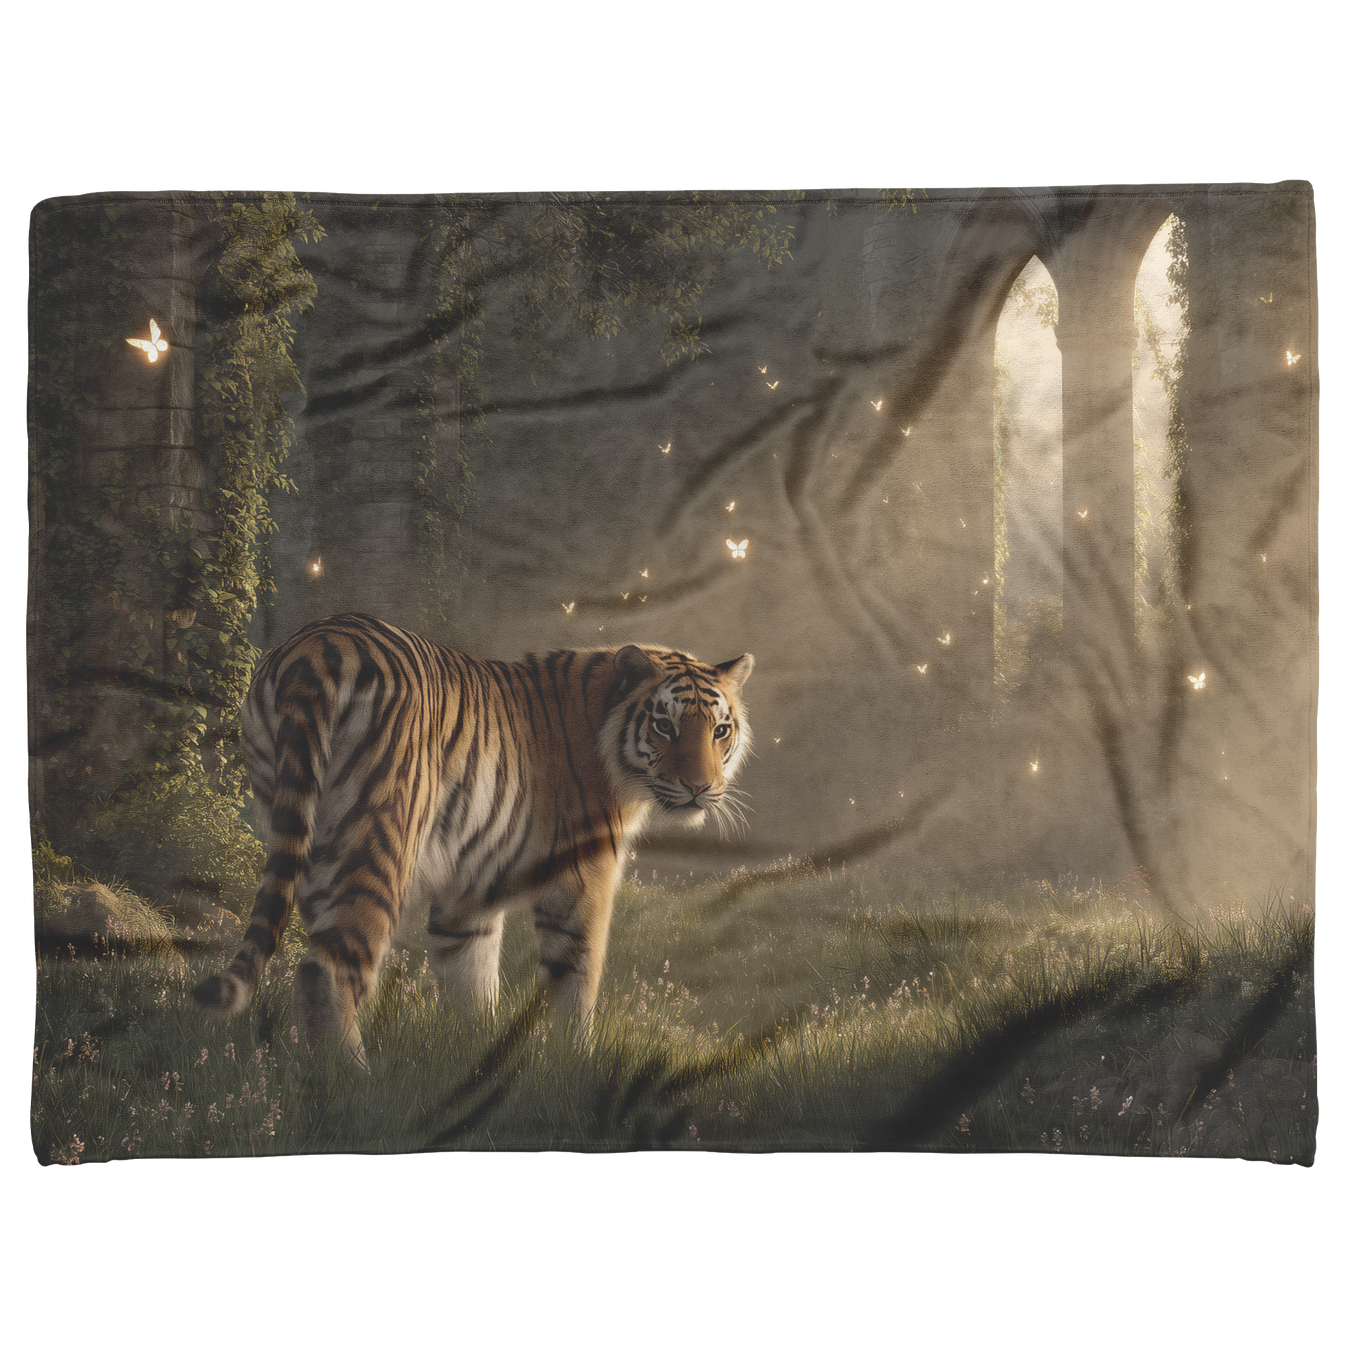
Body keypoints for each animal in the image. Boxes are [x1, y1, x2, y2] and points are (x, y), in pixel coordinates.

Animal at [193, 612, 754, 1067]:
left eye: (720, 730)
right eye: (664, 725)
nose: (701, 787)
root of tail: (317, 646)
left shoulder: (468, 895)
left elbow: (472, 983)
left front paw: (474, 1062)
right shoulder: (581, 879)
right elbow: (578, 981)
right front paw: (574, 1063)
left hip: (302, 837)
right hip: (378, 837)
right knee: (324, 970)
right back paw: (350, 1080)